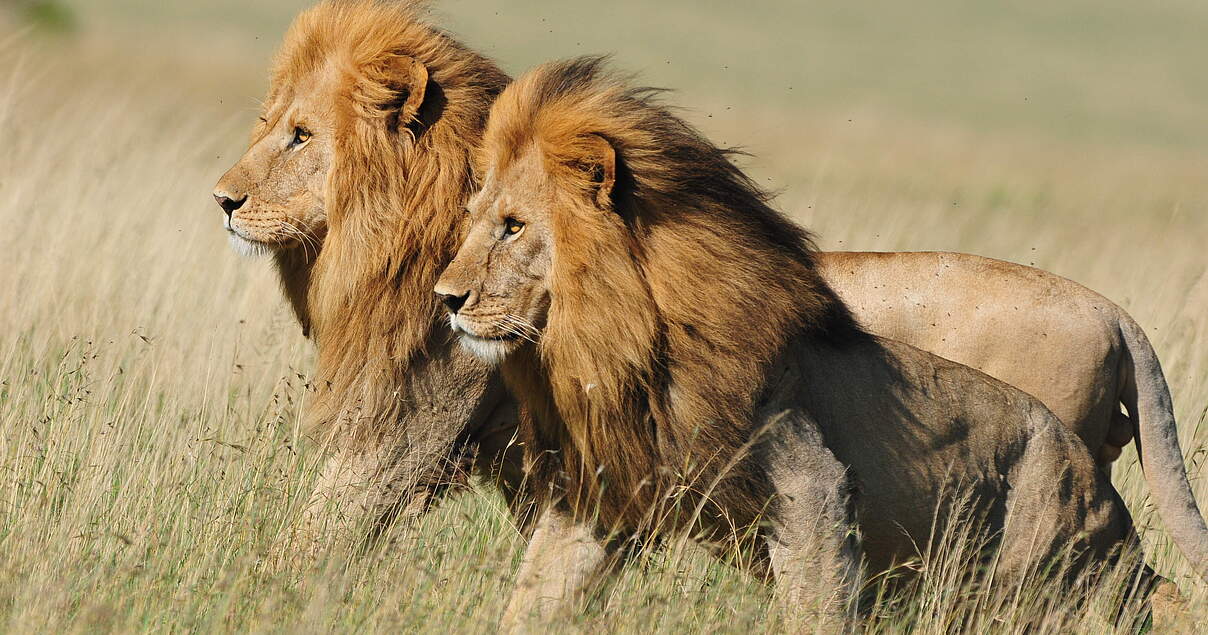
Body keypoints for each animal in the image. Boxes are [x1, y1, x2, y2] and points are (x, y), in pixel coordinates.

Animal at [433, 57, 1201, 627]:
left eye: (513, 226)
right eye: (473, 219)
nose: (446, 299)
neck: (612, 335)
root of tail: (1116, 312)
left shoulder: (813, 482)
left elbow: (816, 603)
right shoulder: (603, 494)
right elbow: (536, 595)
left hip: (1039, 570)